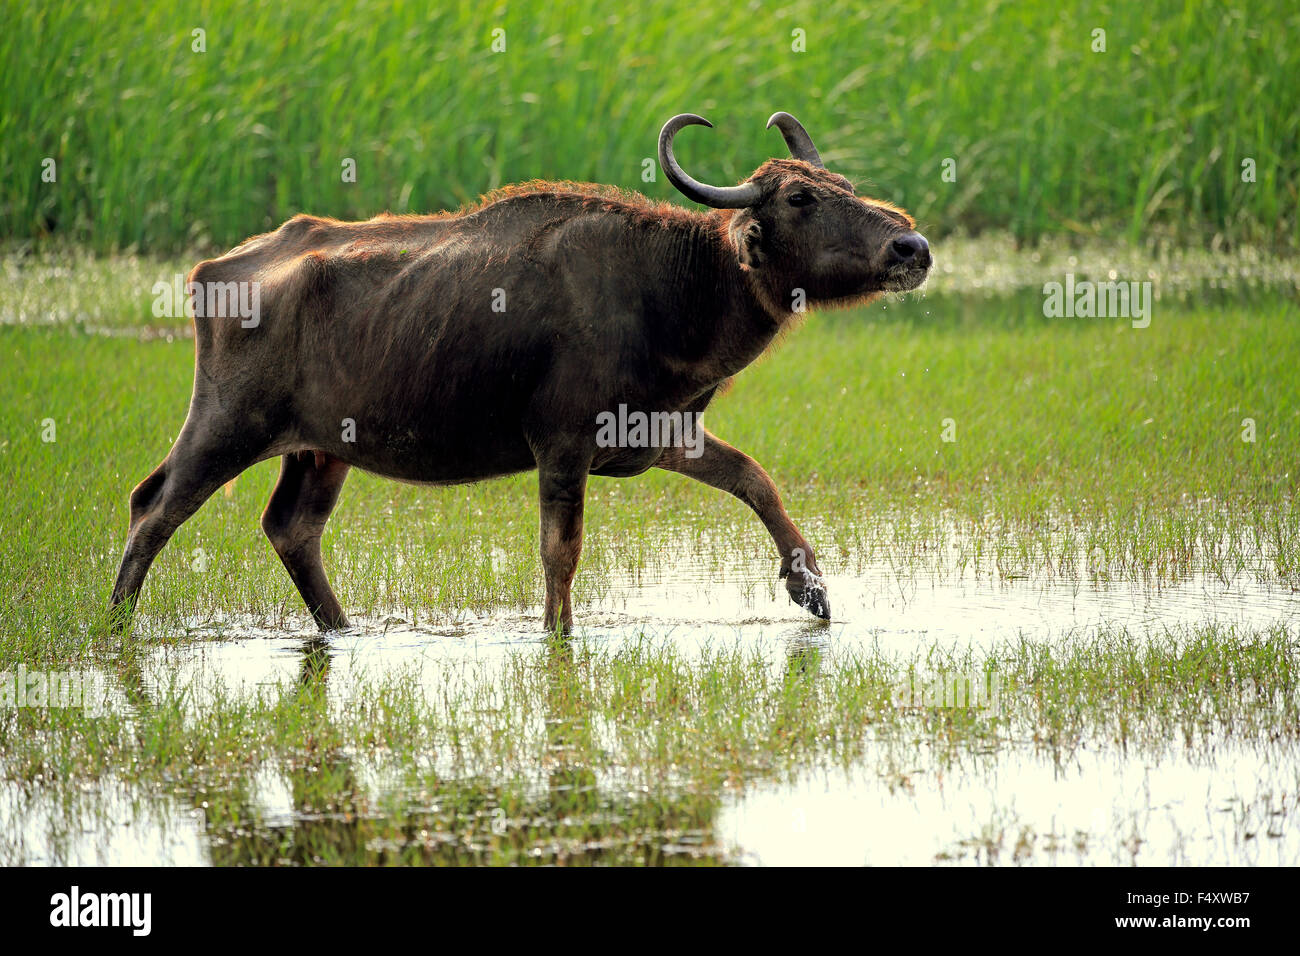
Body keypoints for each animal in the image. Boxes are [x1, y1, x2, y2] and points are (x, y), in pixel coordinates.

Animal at [109, 112, 930, 634]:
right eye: (801, 197)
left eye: (845, 185)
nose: (911, 247)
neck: (675, 288)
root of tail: (211, 272)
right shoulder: (562, 443)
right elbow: (560, 553)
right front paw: (558, 633)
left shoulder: (660, 435)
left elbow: (757, 480)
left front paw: (811, 588)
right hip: (227, 426)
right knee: (154, 509)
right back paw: (116, 624)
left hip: (319, 451)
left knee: (290, 528)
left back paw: (342, 629)